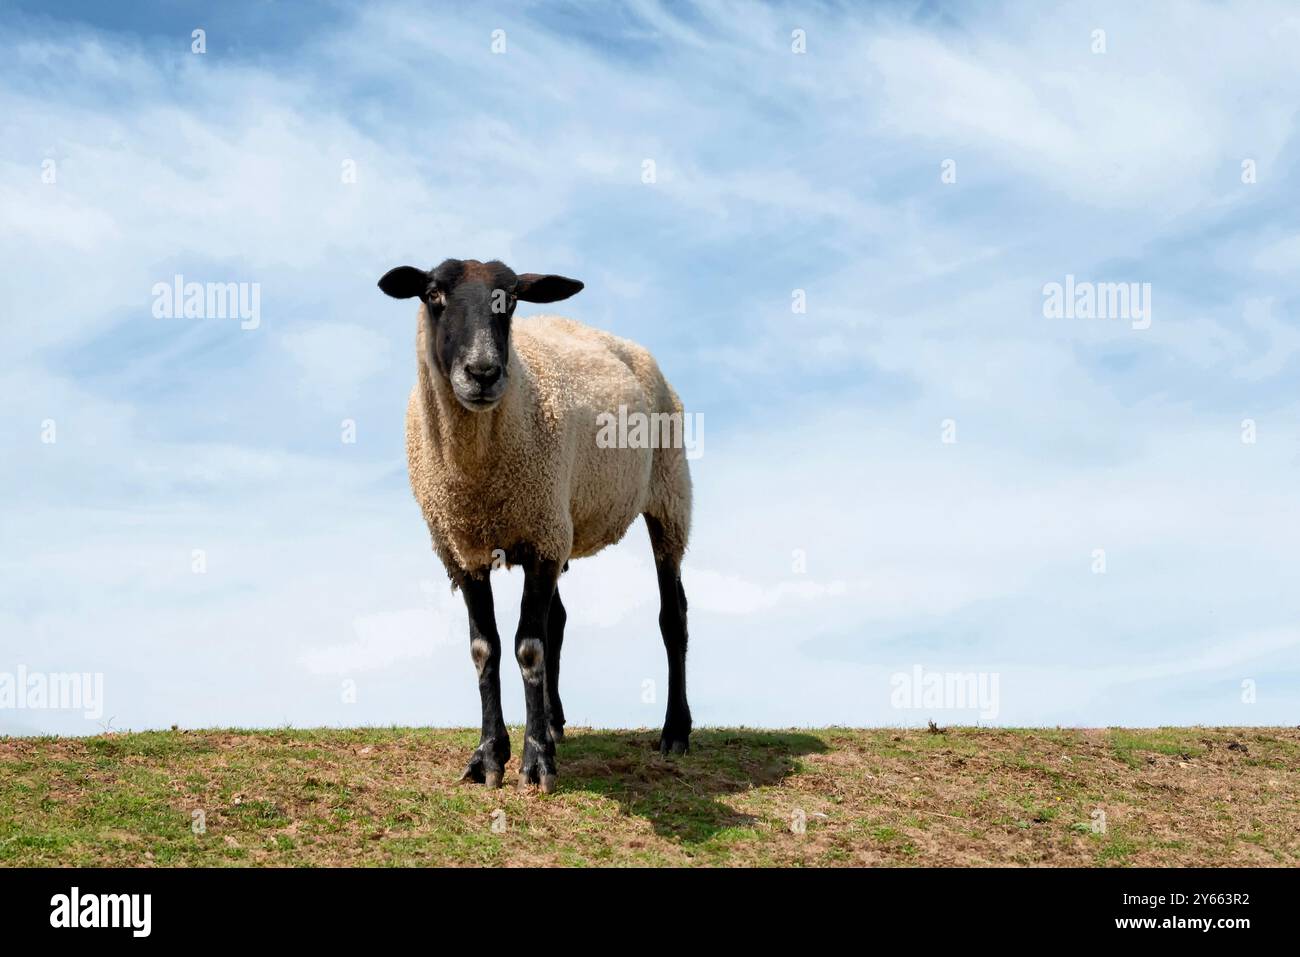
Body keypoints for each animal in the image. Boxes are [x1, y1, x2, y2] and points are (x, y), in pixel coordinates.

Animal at [378, 258, 693, 792]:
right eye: (433, 294)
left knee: (673, 617)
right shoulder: (462, 548)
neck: (477, 476)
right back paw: (554, 722)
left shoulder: (543, 538)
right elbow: (485, 649)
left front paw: (535, 761)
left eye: (512, 301)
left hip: (668, 496)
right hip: (563, 520)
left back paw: (675, 732)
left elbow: (528, 649)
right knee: (559, 622)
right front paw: (490, 755)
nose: (483, 373)